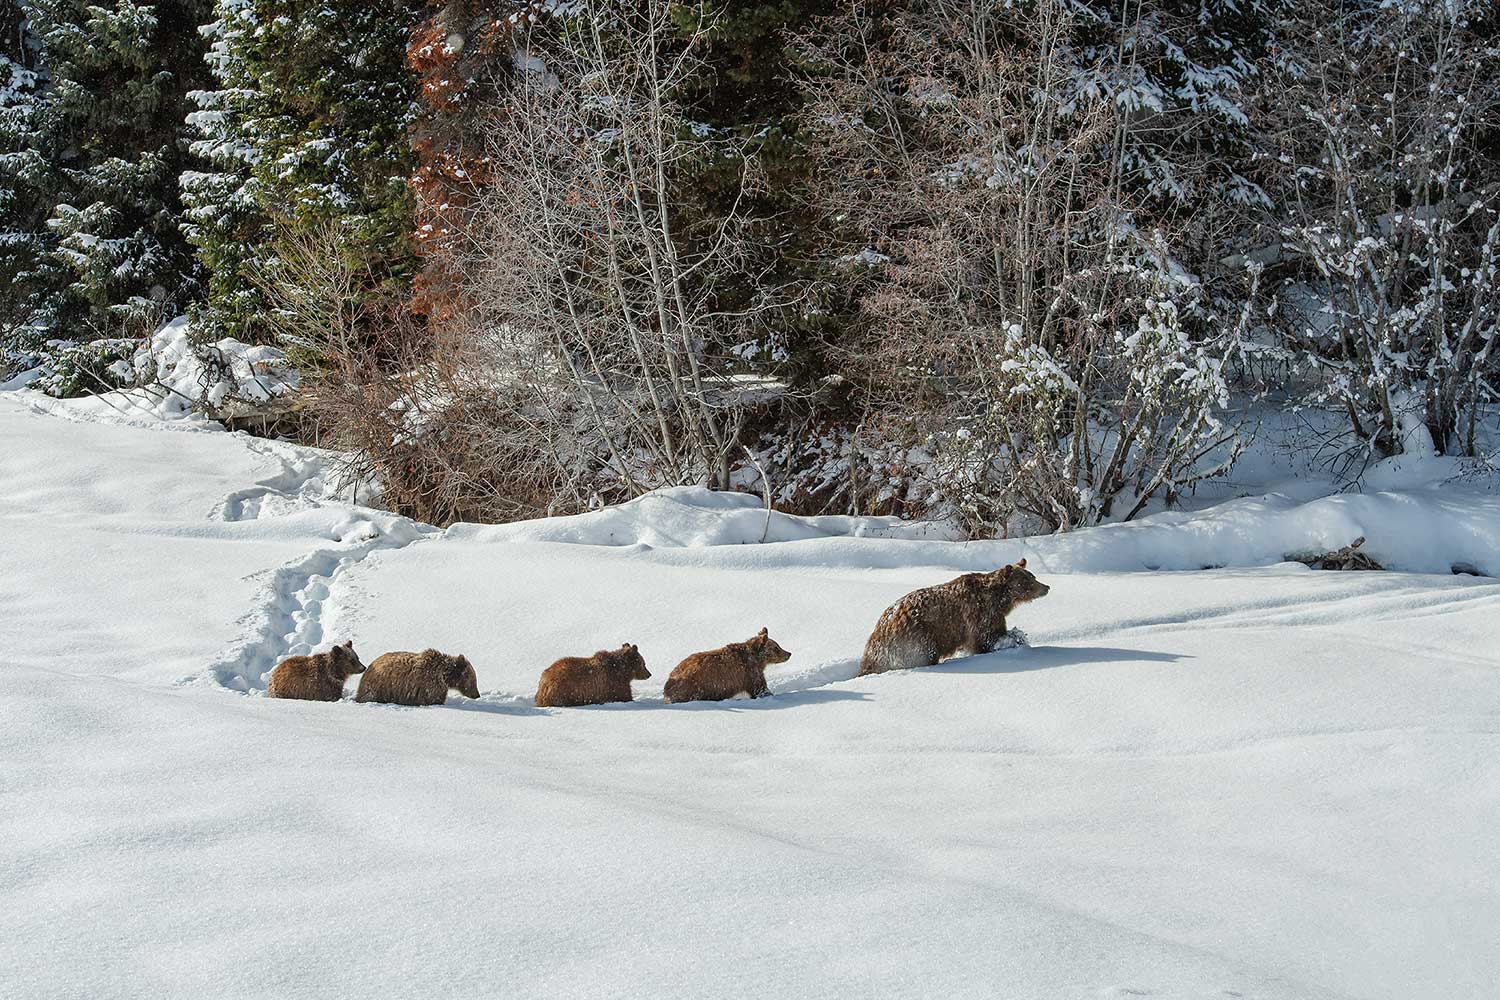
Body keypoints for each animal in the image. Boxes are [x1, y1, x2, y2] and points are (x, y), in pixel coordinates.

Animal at [663, 628, 791, 704]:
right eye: (776, 648)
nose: (789, 654)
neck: (757, 659)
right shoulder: (749, 671)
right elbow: (759, 688)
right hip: (694, 687)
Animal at [859, 559, 1049, 676]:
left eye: (1033, 576)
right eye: (1027, 580)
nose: (1046, 587)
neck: (1000, 600)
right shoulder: (980, 612)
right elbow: (987, 638)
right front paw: (1014, 639)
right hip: (916, 636)